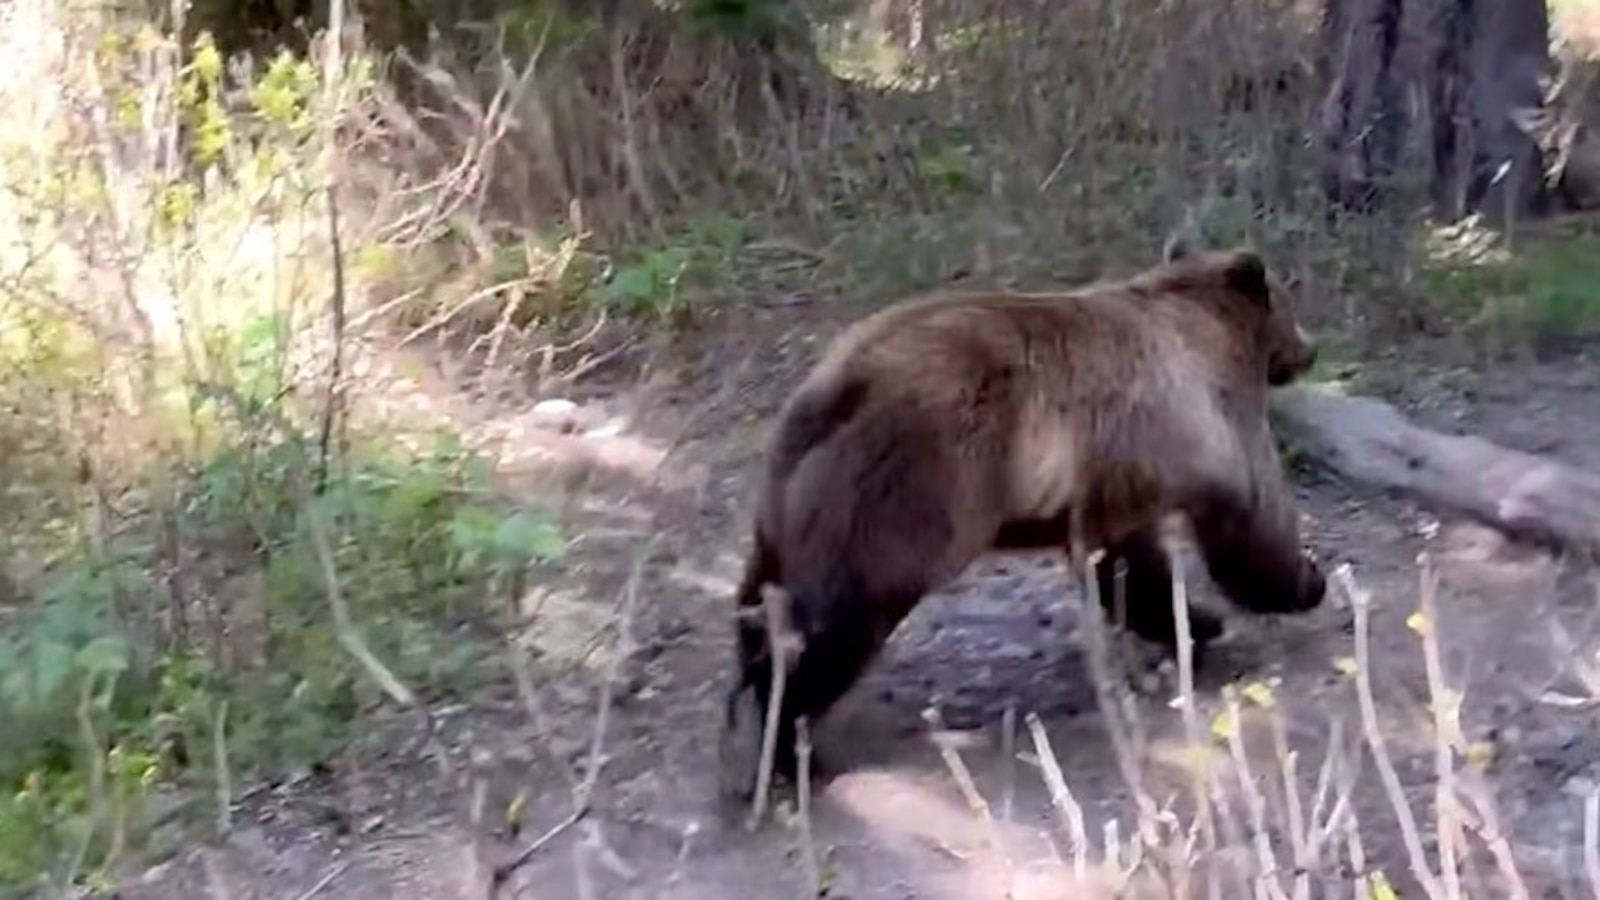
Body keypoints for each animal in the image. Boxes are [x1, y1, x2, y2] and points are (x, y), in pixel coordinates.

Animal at [719, 238, 1327, 802]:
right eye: (1288, 303)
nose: (1311, 350)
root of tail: (835, 387)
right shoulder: (1202, 416)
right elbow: (1252, 515)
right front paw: (1293, 585)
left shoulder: (1108, 483)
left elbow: (1123, 565)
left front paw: (1194, 621)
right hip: (907, 487)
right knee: (846, 617)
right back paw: (792, 739)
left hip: (787, 499)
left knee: (763, 599)